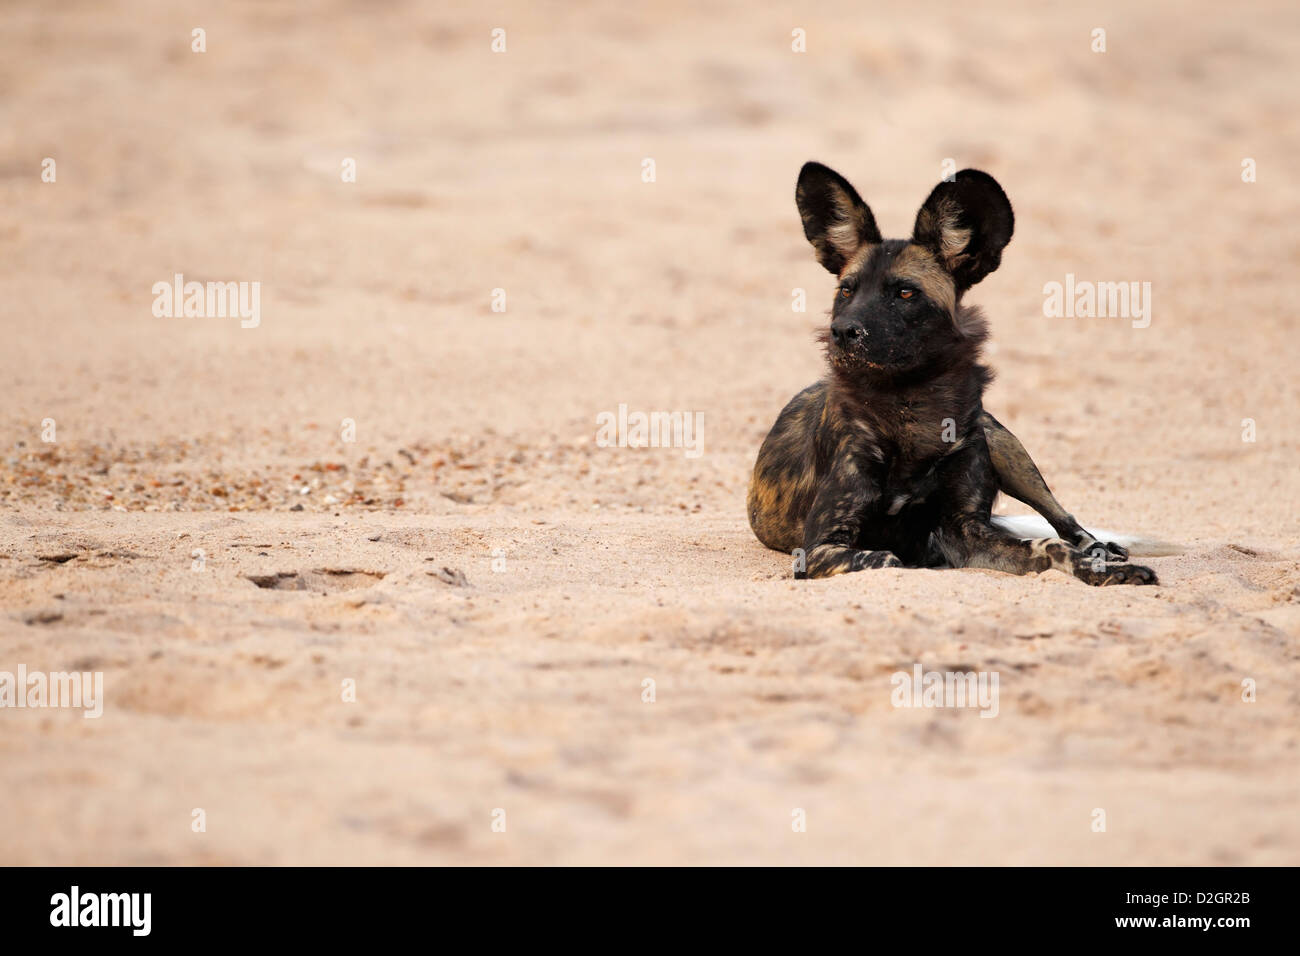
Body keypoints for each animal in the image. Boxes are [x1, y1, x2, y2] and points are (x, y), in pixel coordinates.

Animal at [748, 160, 1164, 587]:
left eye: (905, 293)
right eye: (847, 290)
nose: (842, 331)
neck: (910, 402)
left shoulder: (967, 528)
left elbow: (1049, 545)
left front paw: (1103, 570)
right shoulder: (819, 548)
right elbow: (889, 558)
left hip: (1006, 448)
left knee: (1065, 522)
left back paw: (1103, 551)